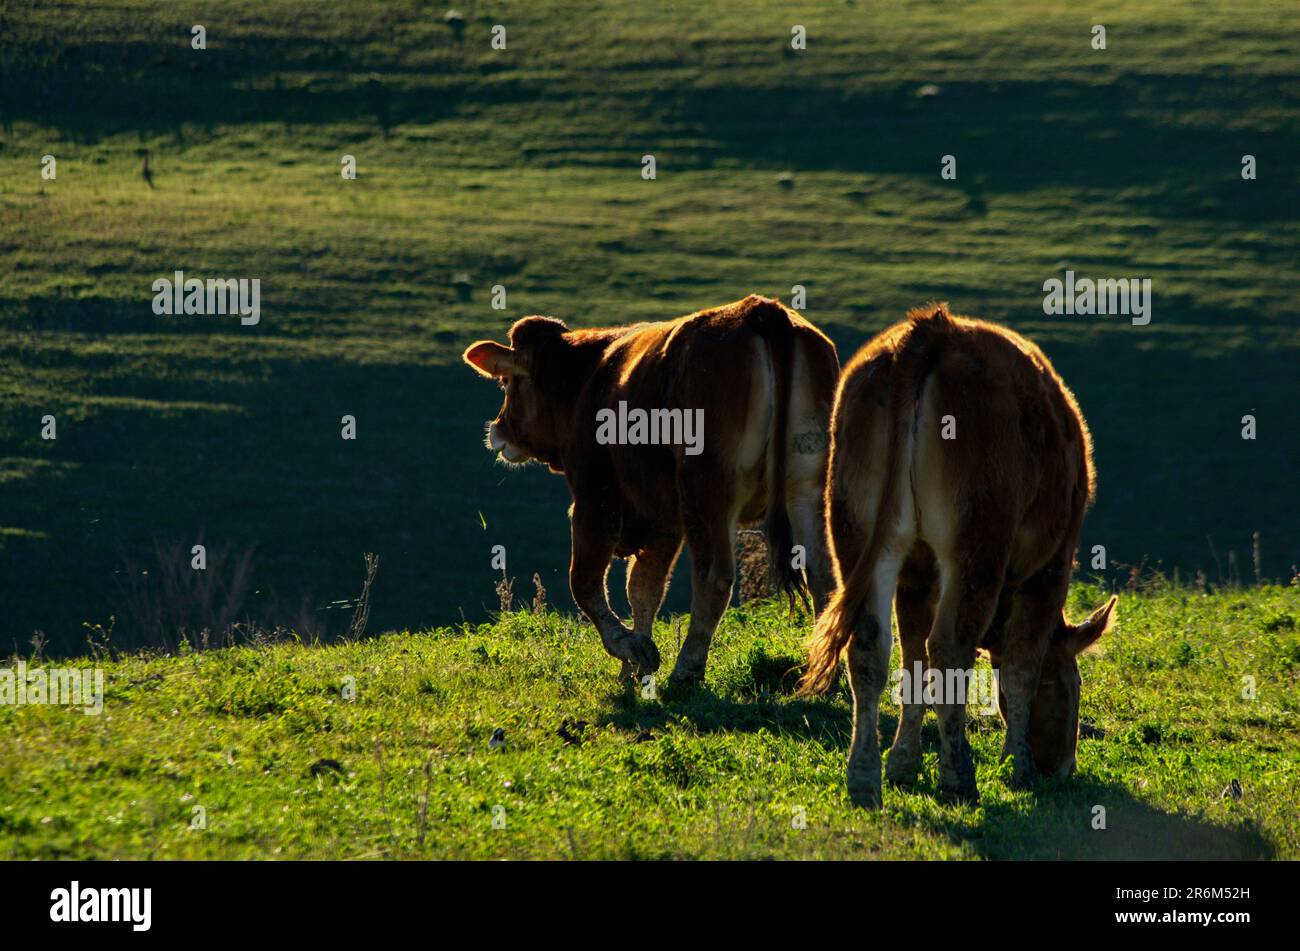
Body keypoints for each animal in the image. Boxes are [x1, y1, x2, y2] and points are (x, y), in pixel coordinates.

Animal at [464, 294, 840, 685]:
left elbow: (585, 581)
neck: (587, 377)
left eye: (506, 382)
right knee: (824, 574)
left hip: (708, 489)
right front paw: (634, 667)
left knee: (715, 577)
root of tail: (759, 310)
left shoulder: (595, 496)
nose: (497, 429)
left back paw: (687, 670)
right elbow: (644, 588)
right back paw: (825, 674)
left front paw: (628, 648)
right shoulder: (663, 516)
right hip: (808, 488)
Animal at [800, 303, 1116, 807]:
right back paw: (959, 778)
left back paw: (864, 777)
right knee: (949, 647)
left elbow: (913, 661)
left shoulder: (917, 576)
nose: (1062, 766)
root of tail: (935, 330)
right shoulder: (1049, 569)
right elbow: (1021, 667)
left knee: (870, 645)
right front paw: (1018, 766)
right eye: (1074, 684)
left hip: (855, 531)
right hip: (976, 543)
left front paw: (903, 763)